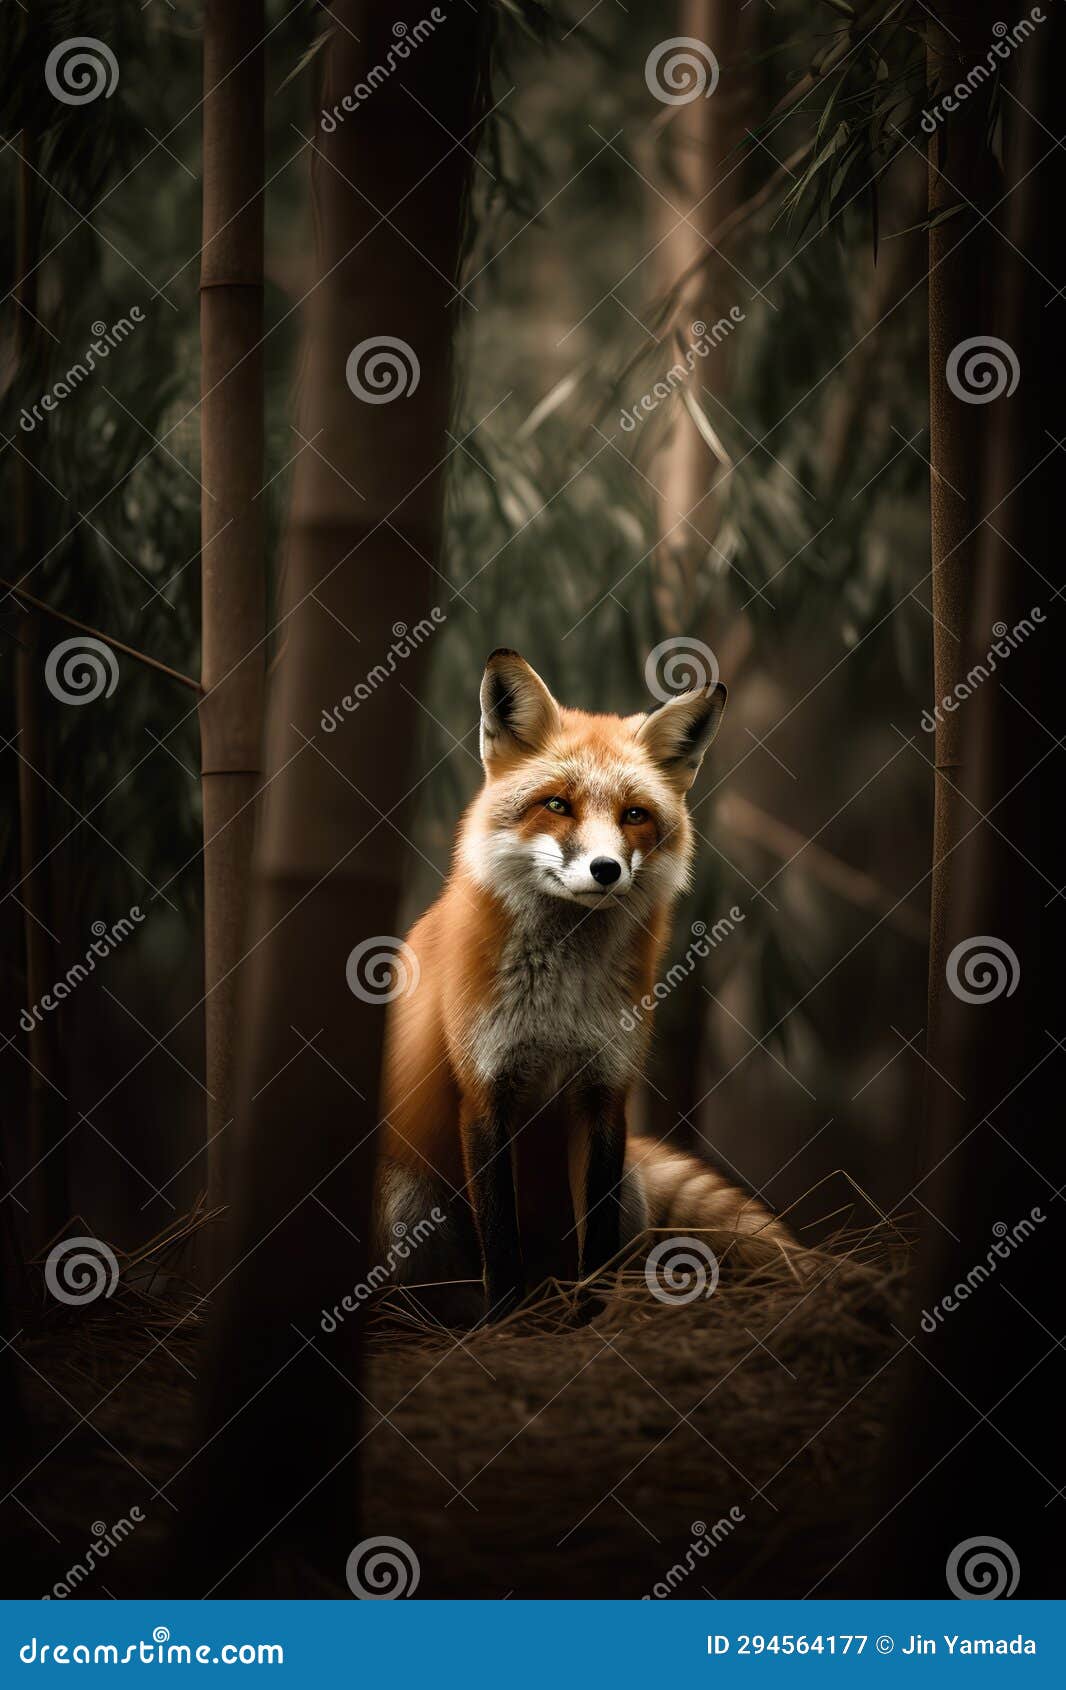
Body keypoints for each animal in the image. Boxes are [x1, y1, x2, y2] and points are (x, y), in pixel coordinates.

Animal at [373, 648, 801, 1321]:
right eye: (557, 805)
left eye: (635, 816)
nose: (606, 869)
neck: (559, 1005)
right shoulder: (485, 1089)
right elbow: (501, 1238)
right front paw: (505, 1324)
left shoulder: (605, 1088)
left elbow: (594, 1242)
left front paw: (591, 1319)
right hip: (406, 1199)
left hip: (628, 1184)